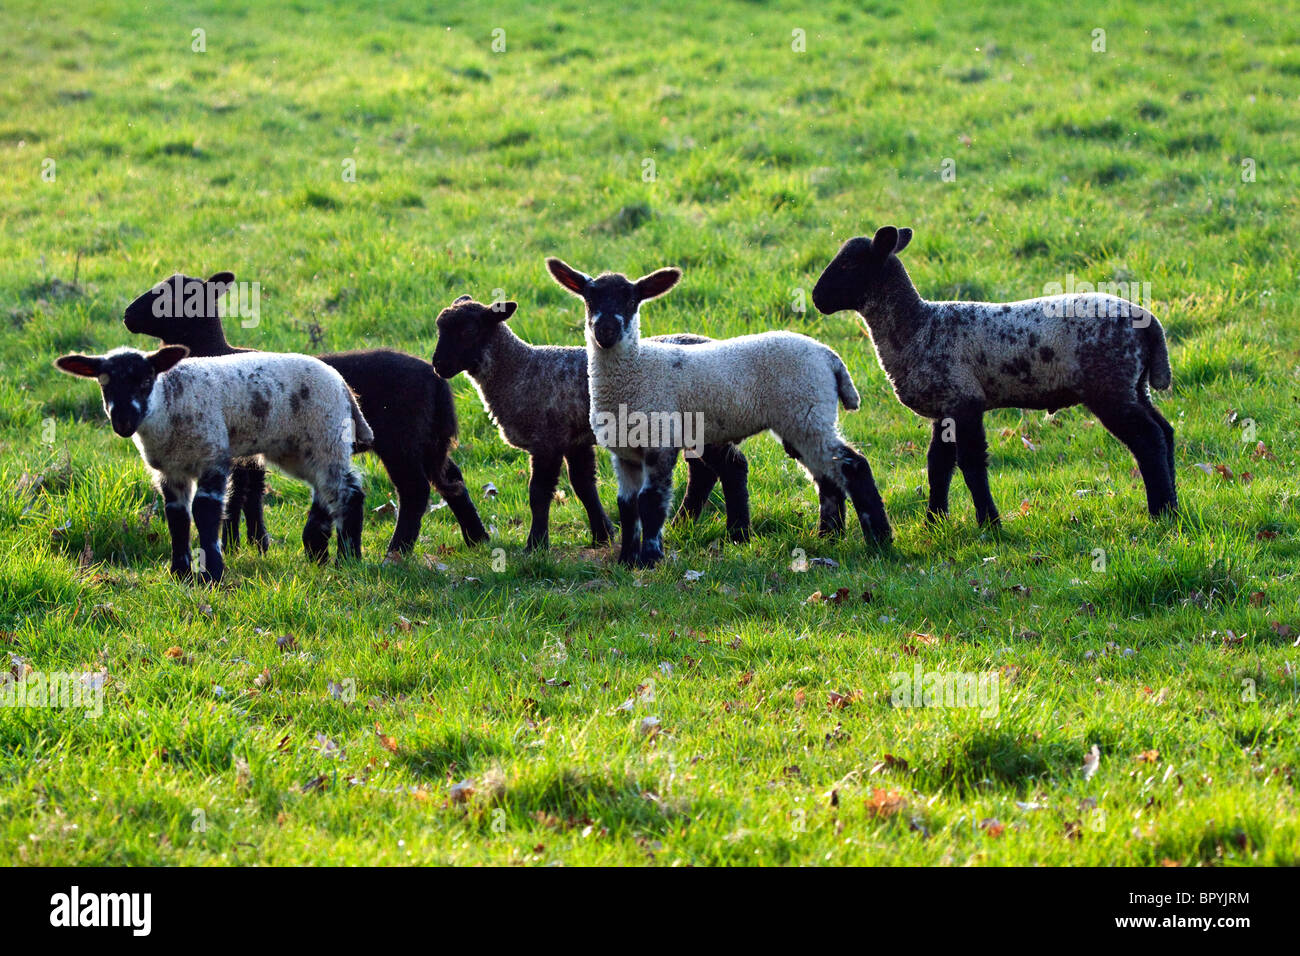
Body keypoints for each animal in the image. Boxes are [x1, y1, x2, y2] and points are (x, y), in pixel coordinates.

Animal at [54, 346, 372, 583]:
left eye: (146, 381)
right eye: (103, 383)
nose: (122, 422)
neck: (168, 402)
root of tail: (343, 385)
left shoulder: (213, 455)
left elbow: (205, 511)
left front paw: (212, 573)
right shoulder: (170, 471)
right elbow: (177, 517)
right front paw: (179, 573)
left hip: (326, 435)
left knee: (348, 492)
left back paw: (348, 558)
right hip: (300, 449)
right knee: (328, 491)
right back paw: (318, 551)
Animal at [123, 272, 490, 556]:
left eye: (177, 294)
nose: (127, 315)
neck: (214, 352)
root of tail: (435, 378)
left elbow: (240, 492)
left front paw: (236, 543)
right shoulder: (249, 450)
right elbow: (248, 492)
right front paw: (253, 545)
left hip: (401, 439)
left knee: (415, 491)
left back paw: (396, 552)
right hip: (428, 438)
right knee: (450, 478)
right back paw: (477, 538)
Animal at [431, 294, 753, 549]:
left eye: (469, 330)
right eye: (439, 328)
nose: (437, 366)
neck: (519, 370)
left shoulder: (547, 440)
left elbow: (539, 493)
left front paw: (536, 545)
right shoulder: (574, 439)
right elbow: (583, 485)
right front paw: (603, 534)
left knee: (732, 468)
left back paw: (738, 534)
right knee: (703, 473)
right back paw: (681, 524)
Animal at [545, 258, 891, 568]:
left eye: (632, 300)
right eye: (589, 299)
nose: (605, 331)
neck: (637, 370)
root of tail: (830, 357)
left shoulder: (660, 439)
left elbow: (651, 501)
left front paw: (650, 558)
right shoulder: (625, 452)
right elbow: (627, 506)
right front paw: (626, 560)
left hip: (806, 411)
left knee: (853, 466)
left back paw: (879, 539)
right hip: (802, 418)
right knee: (827, 477)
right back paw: (828, 537)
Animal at [811, 225, 1177, 524]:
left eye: (848, 265)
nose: (816, 299)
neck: (917, 327)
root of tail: (1149, 322)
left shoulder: (965, 401)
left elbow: (972, 464)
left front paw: (989, 523)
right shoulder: (945, 407)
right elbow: (937, 465)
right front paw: (934, 522)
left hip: (1109, 385)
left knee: (1148, 439)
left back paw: (1160, 512)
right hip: (1134, 384)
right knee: (1165, 431)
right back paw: (1172, 503)